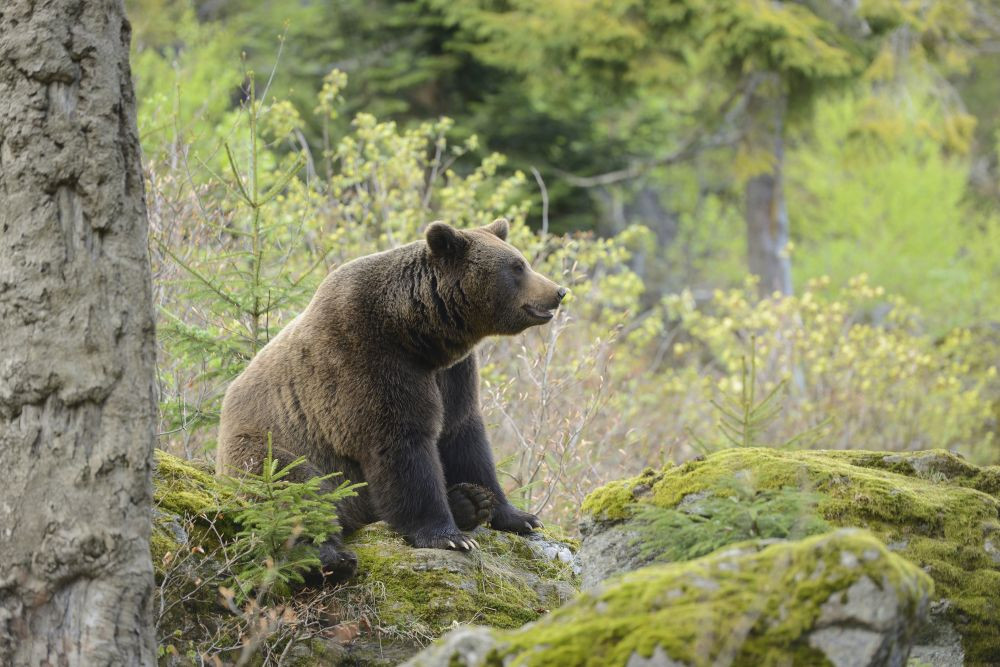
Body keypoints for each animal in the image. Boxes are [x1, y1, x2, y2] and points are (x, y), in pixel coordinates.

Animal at [216, 218, 566, 580]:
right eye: (517, 267)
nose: (558, 291)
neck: (415, 333)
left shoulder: (452, 374)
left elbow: (464, 435)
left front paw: (518, 515)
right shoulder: (365, 359)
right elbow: (400, 443)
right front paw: (448, 536)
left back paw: (469, 502)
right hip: (269, 451)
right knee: (296, 493)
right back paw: (333, 558)